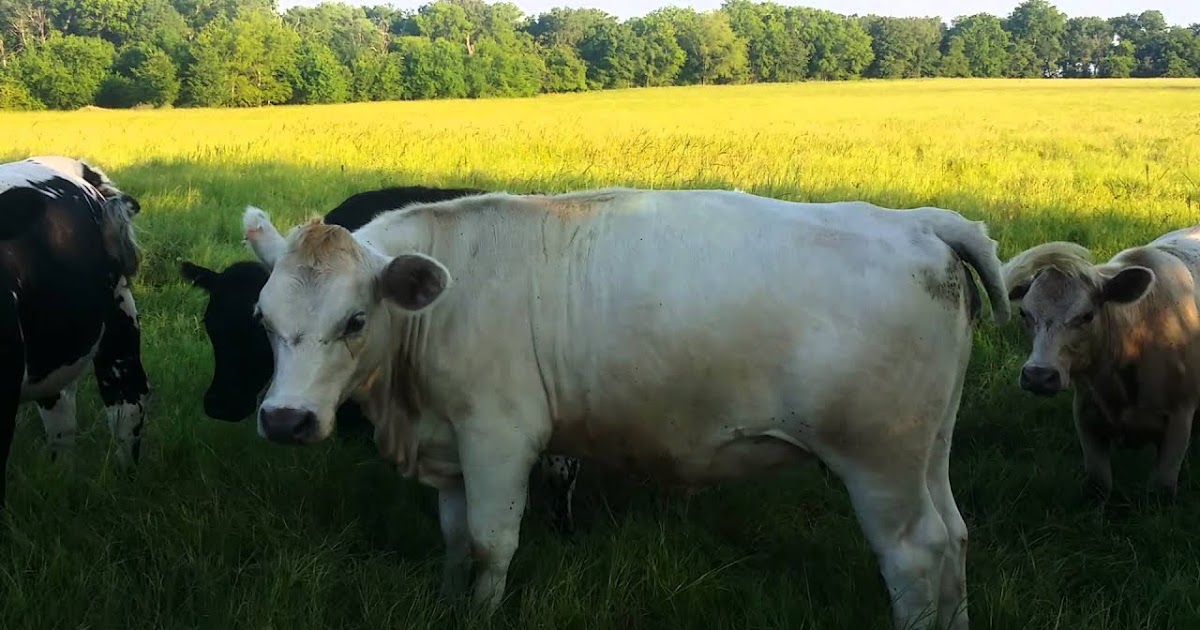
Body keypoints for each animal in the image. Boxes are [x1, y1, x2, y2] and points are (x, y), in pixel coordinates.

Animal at [239, 187, 1009, 630]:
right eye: (261, 318)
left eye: (356, 320)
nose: (284, 419)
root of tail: (918, 223)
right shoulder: (451, 445)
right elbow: (457, 544)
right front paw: (449, 604)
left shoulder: (498, 435)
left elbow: (490, 544)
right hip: (926, 449)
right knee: (953, 538)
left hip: (879, 459)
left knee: (915, 555)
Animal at [1002, 229, 1200, 499]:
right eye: (1024, 313)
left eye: (1087, 315)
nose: (1038, 375)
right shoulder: (1085, 414)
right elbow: (1099, 482)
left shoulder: (1180, 418)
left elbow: (1162, 487)